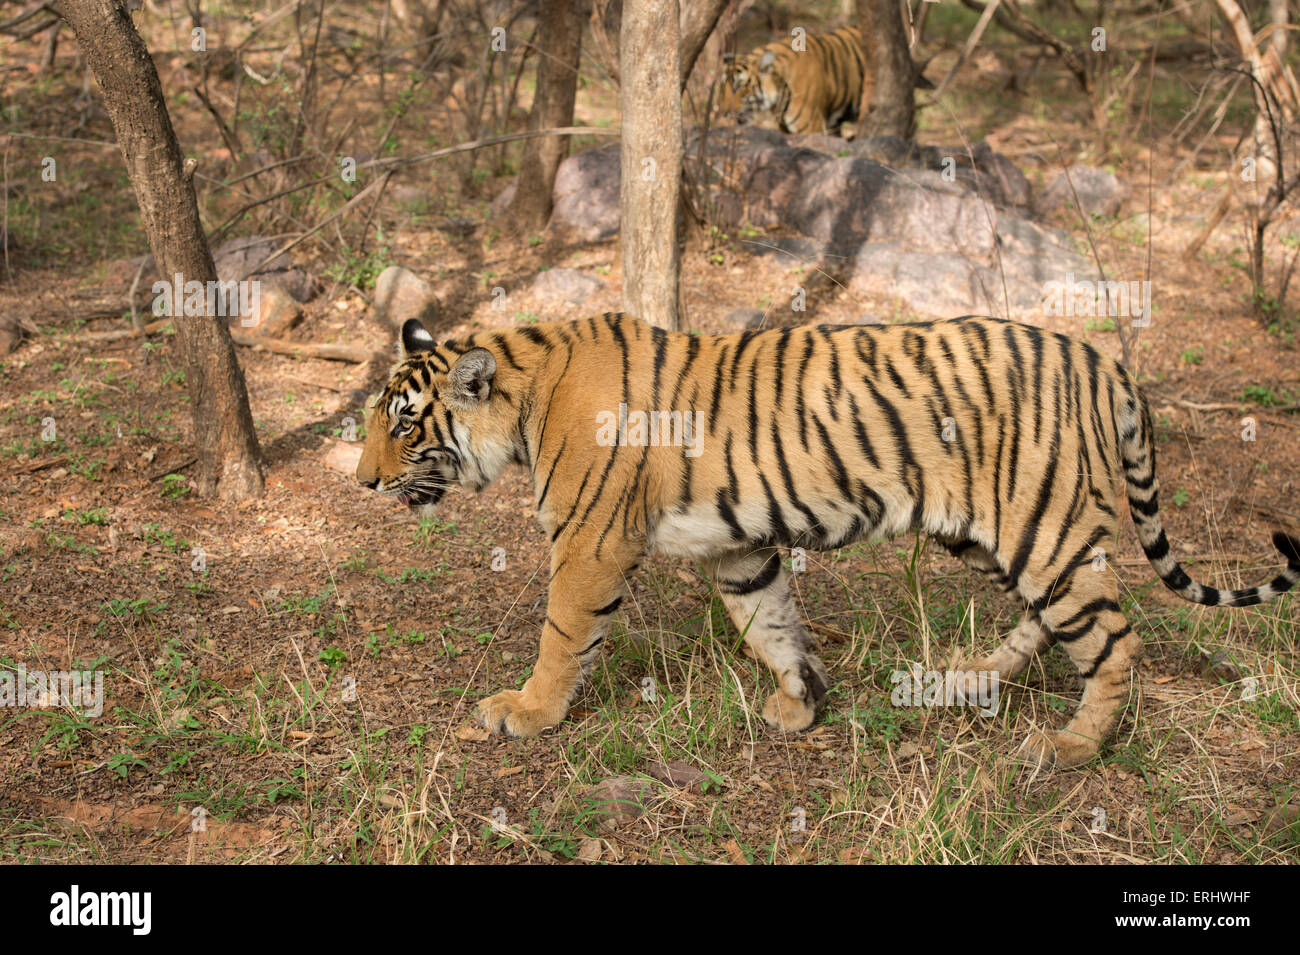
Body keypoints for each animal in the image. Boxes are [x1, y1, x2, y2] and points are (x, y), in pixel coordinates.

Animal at [356, 314, 1300, 769]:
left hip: (1043, 524)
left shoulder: (590, 542)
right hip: (996, 534)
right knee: (1051, 618)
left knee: (1114, 636)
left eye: (403, 426)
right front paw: (801, 699)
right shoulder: (735, 543)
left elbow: (562, 637)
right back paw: (969, 680)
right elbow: (768, 618)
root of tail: (1102, 360)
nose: (361, 481)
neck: (522, 396)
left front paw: (526, 712)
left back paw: (1072, 746)